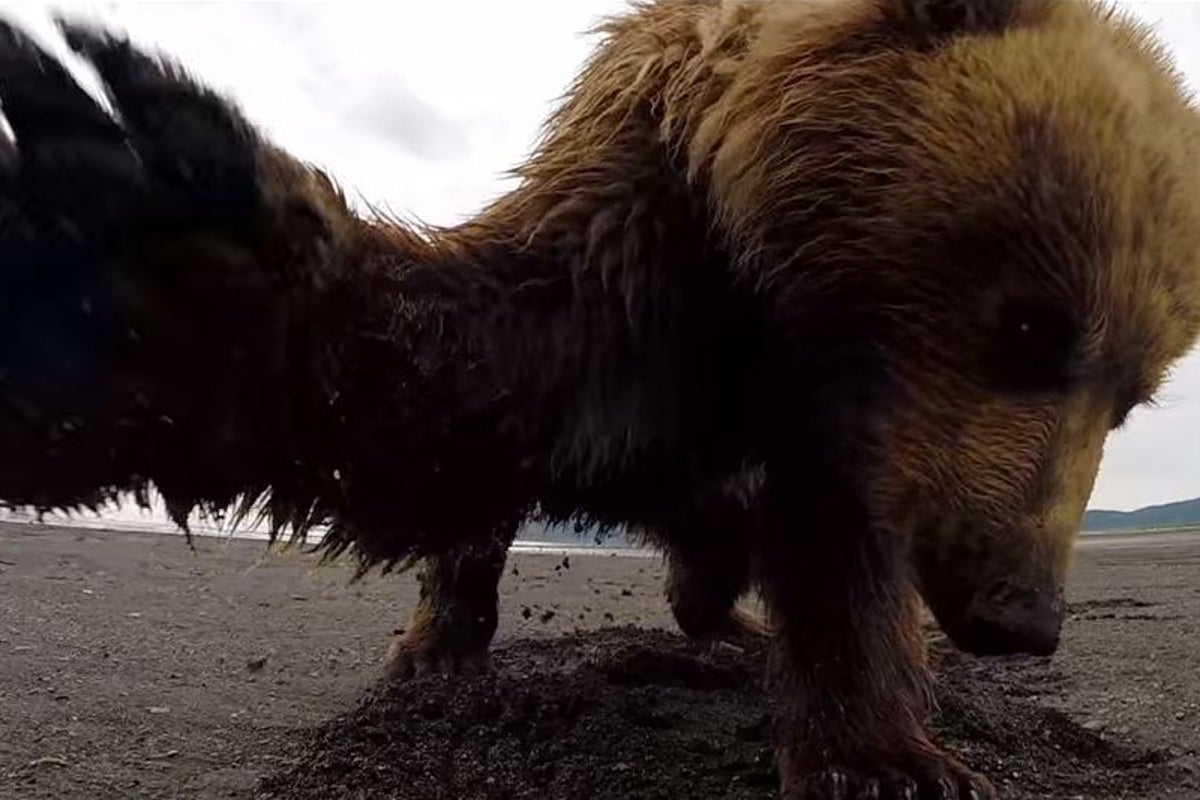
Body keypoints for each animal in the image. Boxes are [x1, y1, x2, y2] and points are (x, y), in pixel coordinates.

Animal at [3, 0, 1200, 797]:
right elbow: (457, 394)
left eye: (1133, 398)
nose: (1022, 616)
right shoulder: (644, 238)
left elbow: (845, 552)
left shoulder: (849, 421)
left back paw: (722, 618)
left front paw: (892, 756)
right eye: (1031, 327)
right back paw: (444, 640)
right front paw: (131, 244)